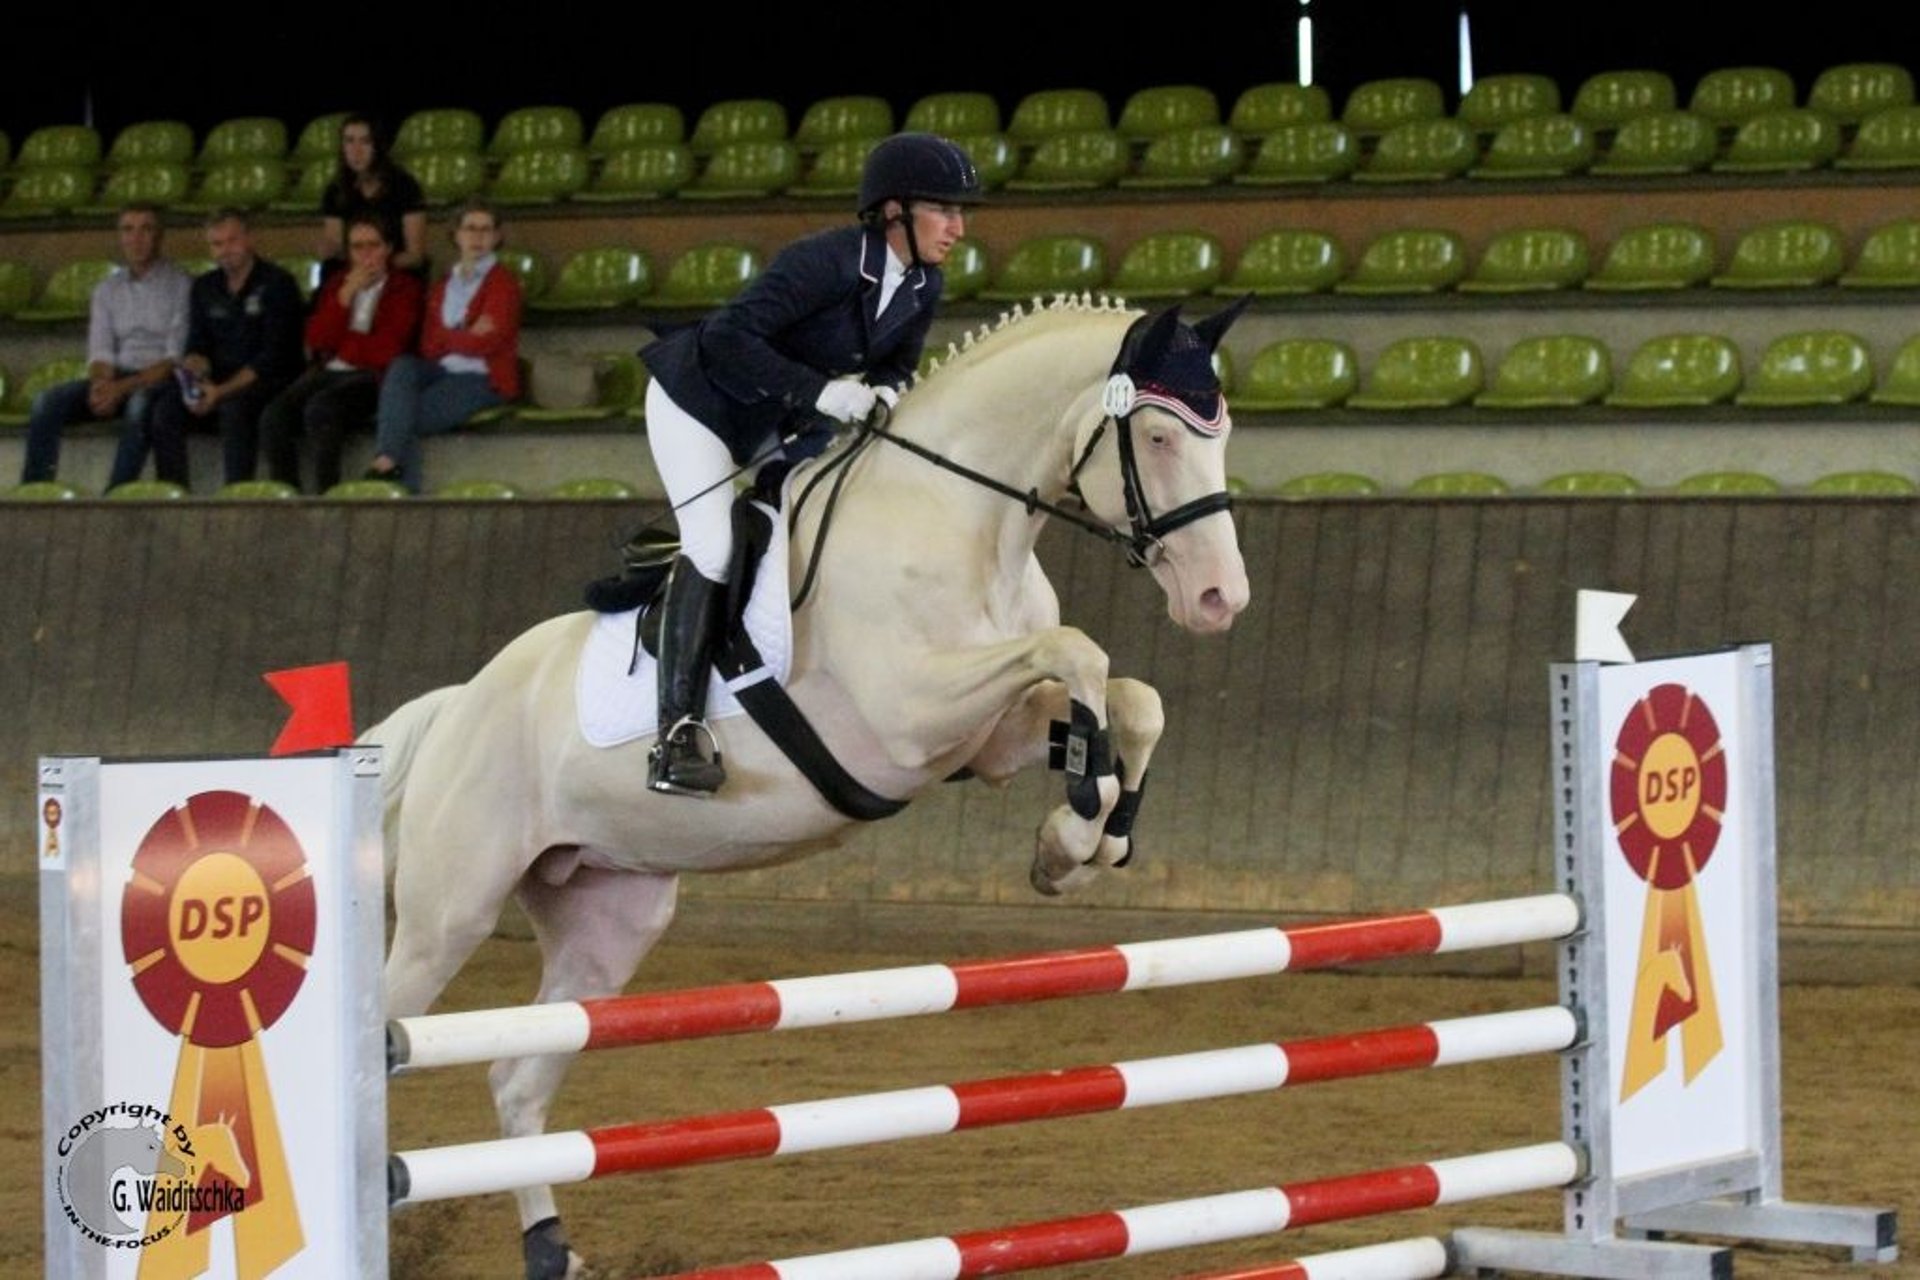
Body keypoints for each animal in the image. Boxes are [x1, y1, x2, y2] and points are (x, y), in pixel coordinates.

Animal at [366, 294, 1253, 1278]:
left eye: (1220, 432)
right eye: (1160, 436)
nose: (1220, 599)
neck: (958, 517)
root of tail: (458, 706)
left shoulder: (984, 738)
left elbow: (1133, 700)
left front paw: (1077, 844)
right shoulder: (913, 715)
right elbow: (1081, 654)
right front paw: (1081, 820)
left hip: (607, 921)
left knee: (517, 1078)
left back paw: (552, 1248)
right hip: (452, 912)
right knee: (392, 1040)